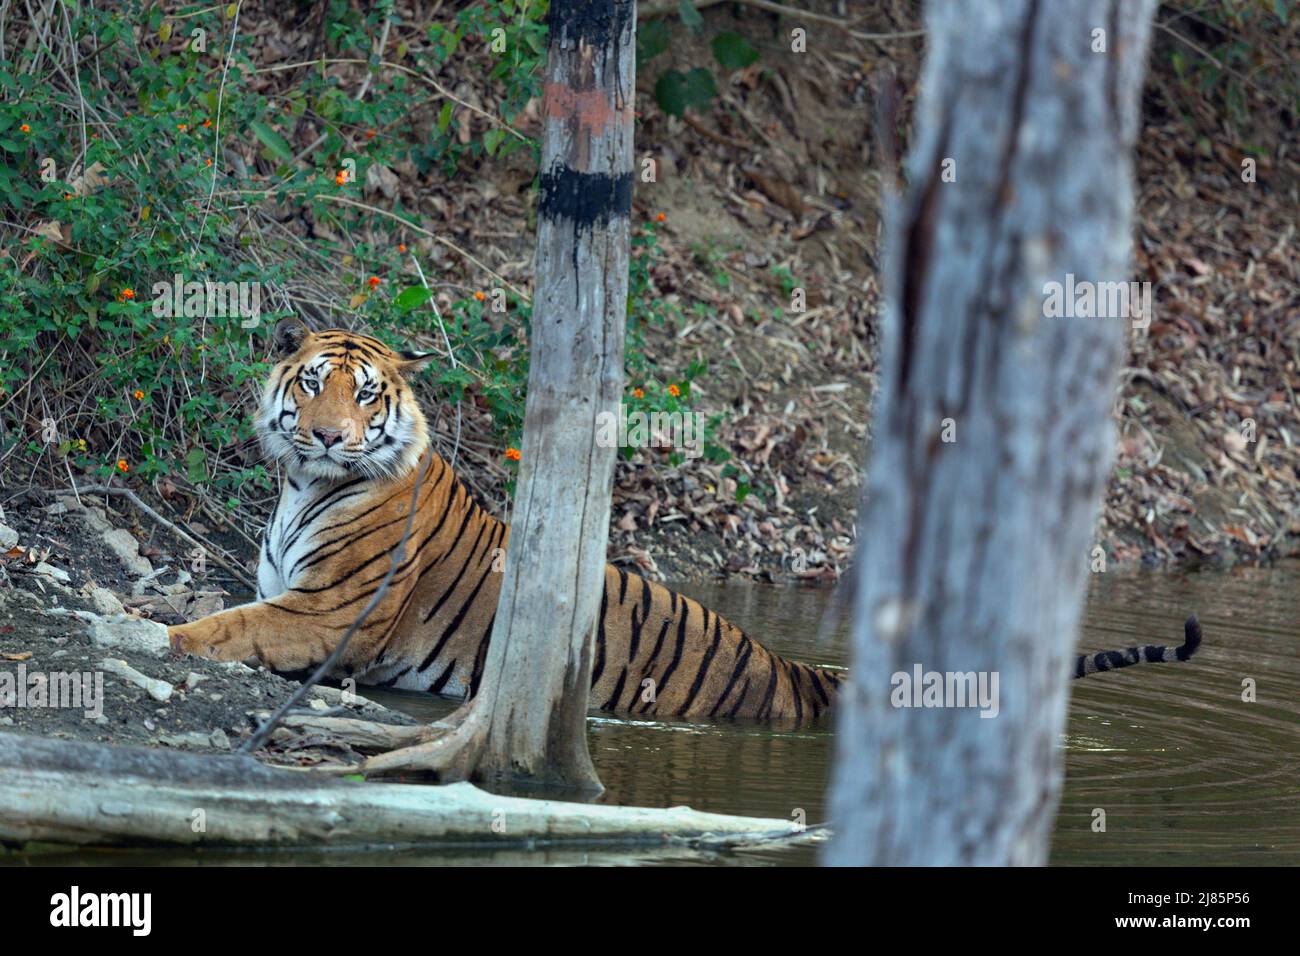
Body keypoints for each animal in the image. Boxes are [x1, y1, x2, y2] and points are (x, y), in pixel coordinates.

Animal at [168, 319, 1204, 721]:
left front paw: (159, 633)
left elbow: (224, 628)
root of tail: (788, 668)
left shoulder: (326, 614)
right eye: (312, 383)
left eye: (366, 394)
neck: (303, 488)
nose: (329, 436)